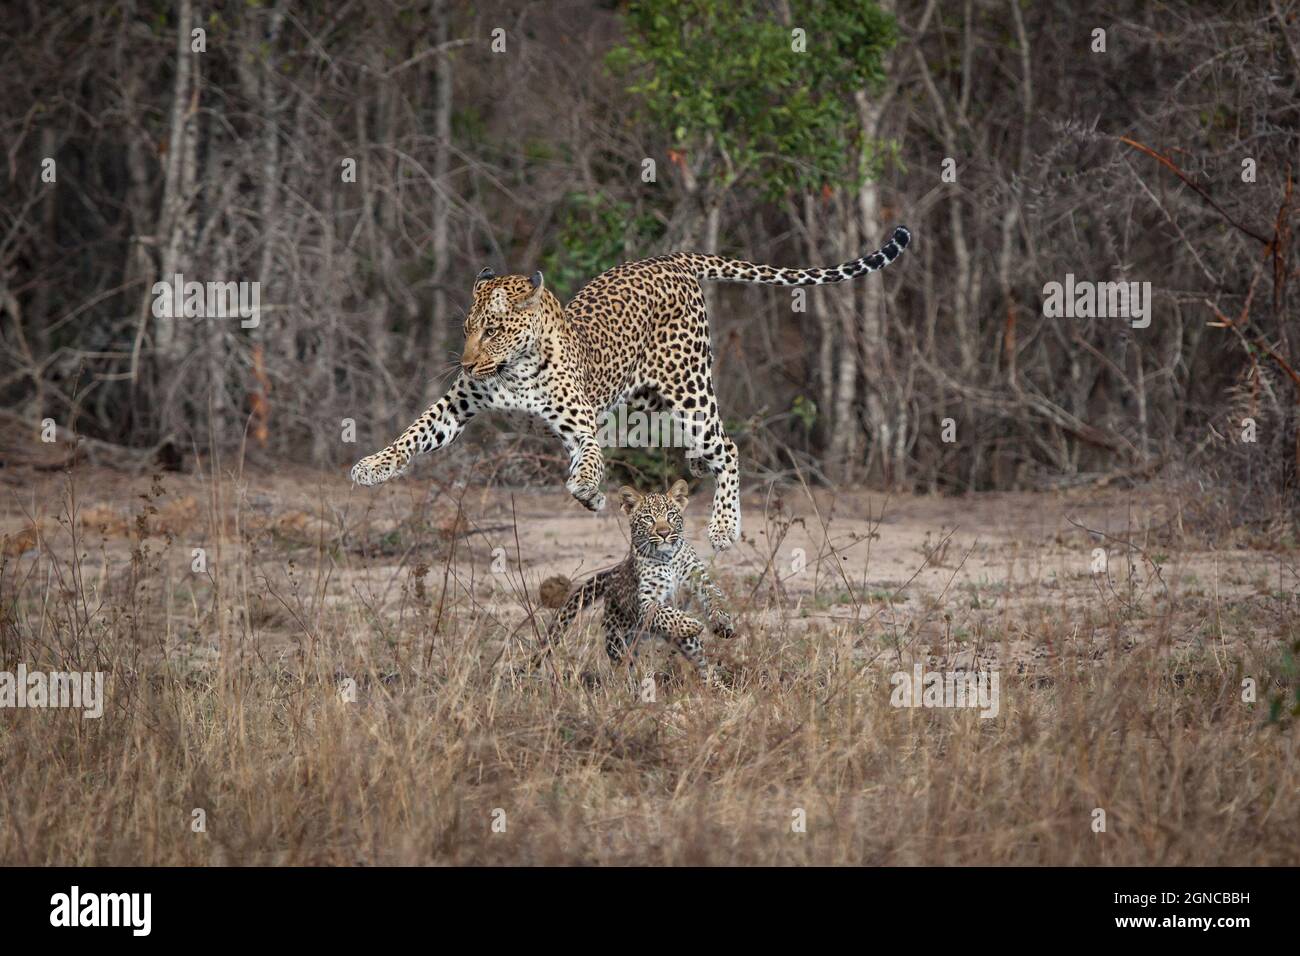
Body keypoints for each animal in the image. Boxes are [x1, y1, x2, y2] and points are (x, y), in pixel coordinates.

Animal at [349, 225, 912, 551]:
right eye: (468, 328)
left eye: (492, 329)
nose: (464, 360)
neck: (513, 367)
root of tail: (672, 260)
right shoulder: (461, 401)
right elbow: (415, 432)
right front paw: (372, 467)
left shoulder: (581, 423)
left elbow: (586, 462)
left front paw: (587, 490)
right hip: (648, 402)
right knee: (702, 449)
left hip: (689, 389)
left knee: (728, 446)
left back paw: (723, 528)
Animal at [537, 480, 734, 680]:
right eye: (648, 518)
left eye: (670, 515)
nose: (664, 532)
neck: (668, 557)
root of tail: (614, 571)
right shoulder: (645, 602)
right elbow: (665, 612)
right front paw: (694, 623)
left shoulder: (701, 581)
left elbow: (715, 598)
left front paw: (722, 622)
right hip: (617, 640)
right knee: (623, 668)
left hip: (687, 644)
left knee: (702, 663)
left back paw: (714, 682)